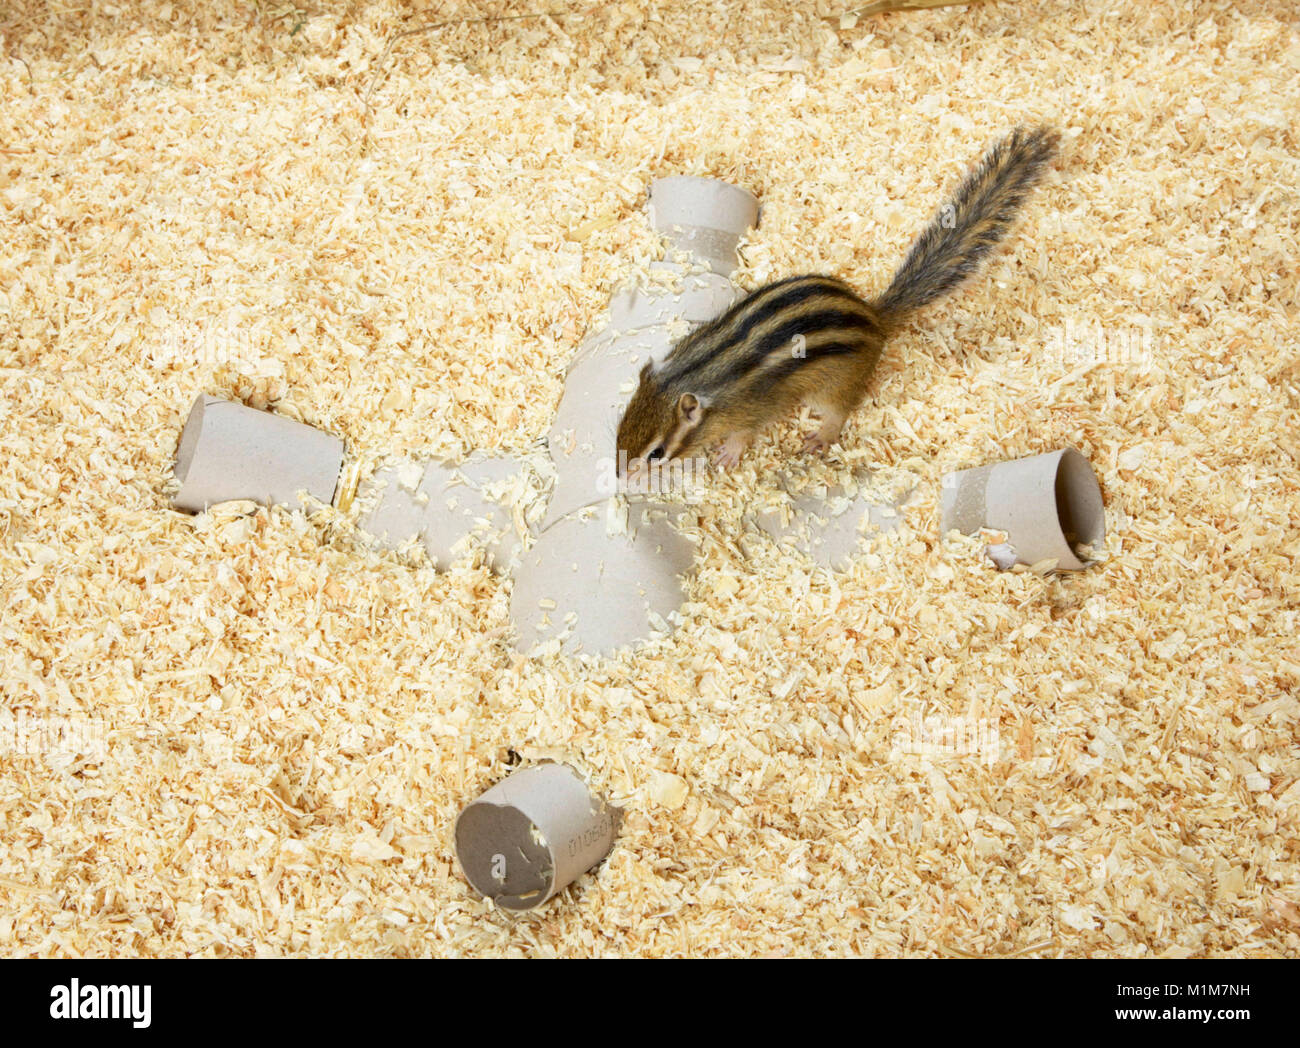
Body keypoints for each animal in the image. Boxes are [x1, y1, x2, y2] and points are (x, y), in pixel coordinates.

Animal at [615, 125, 1061, 477]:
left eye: (656, 454)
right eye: (621, 424)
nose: (621, 475)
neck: (693, 374)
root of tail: (874, 315)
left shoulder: (753, 409)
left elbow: (744, 433)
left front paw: (729, 452)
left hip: (833, 385)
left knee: (840, 411)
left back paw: (822, 435)